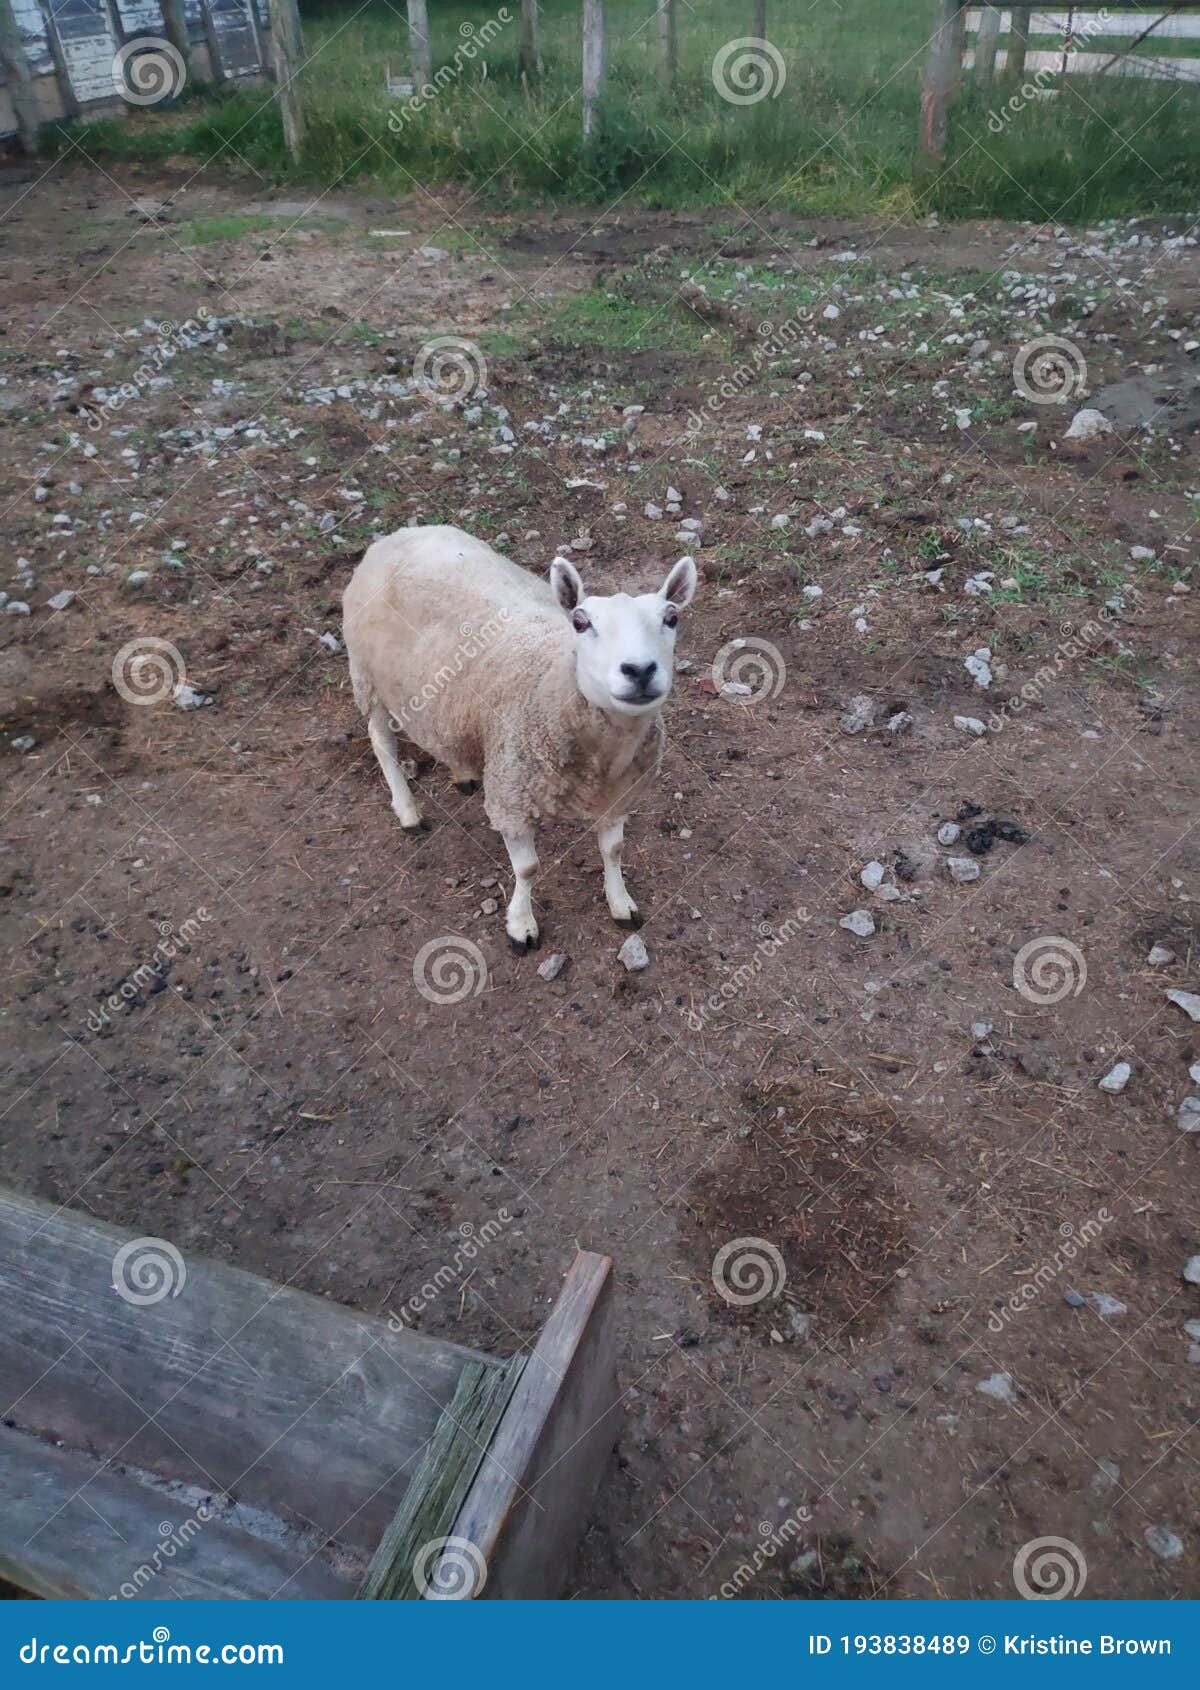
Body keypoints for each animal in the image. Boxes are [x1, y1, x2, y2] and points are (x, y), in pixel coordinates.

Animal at [342, 525, 697, 951]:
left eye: (671, 617)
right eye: (581, 623)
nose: (640, 670)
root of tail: (400, 533)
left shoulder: (617, 796)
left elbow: (613, 850)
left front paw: (620, 902)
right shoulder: (511, 799)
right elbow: (528, 868)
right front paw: (521, 925)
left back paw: (462, 773)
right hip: (367, 675)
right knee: (381, 740)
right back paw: (408, 811)